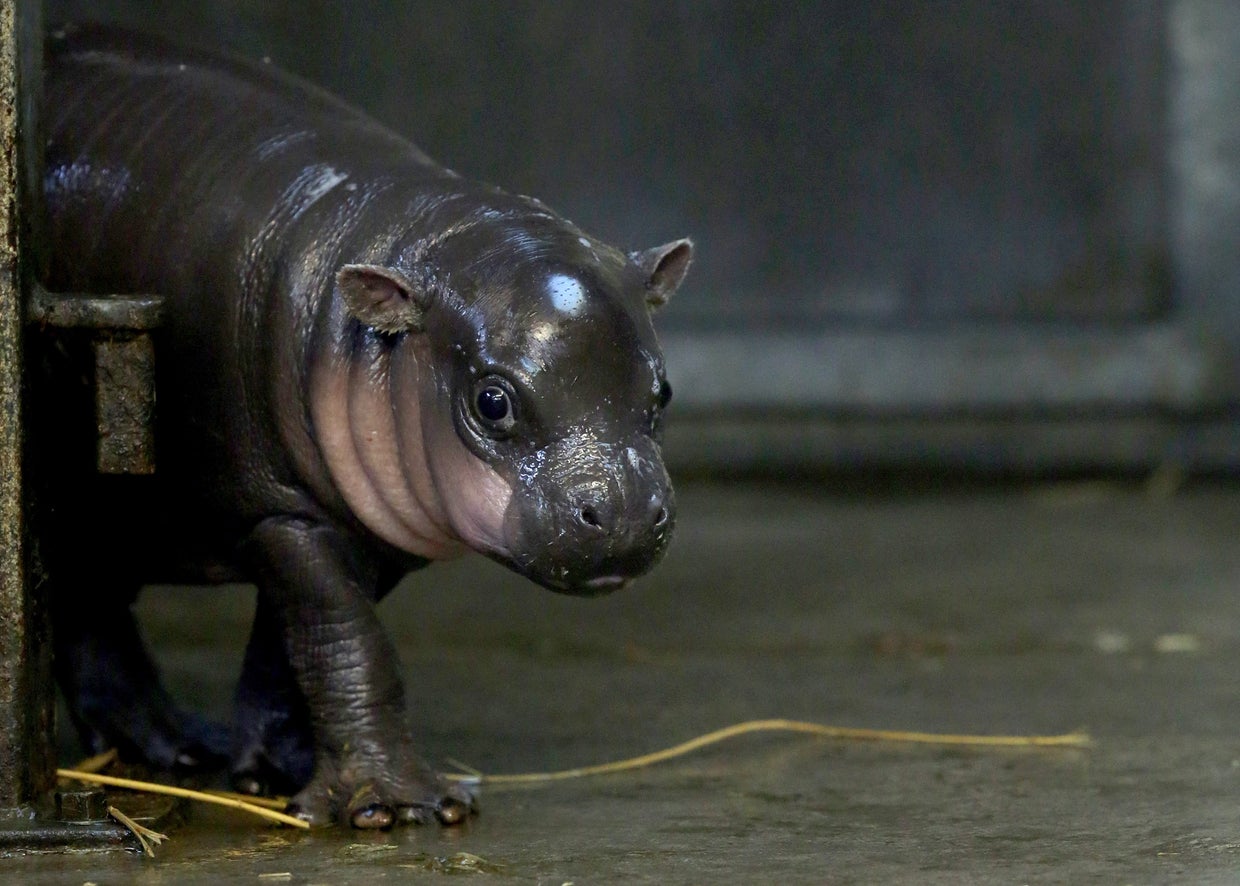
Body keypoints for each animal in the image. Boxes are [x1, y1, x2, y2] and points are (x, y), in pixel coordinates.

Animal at [32, 24, 691, 828]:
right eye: (492, 402)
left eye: (662, 391)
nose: (624, 512)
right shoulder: (281, 513)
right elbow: (351, 645)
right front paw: (406, 807)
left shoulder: (357, 523)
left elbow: (293, 651)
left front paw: (275, 772)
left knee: (92, 607)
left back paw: (178, 749)